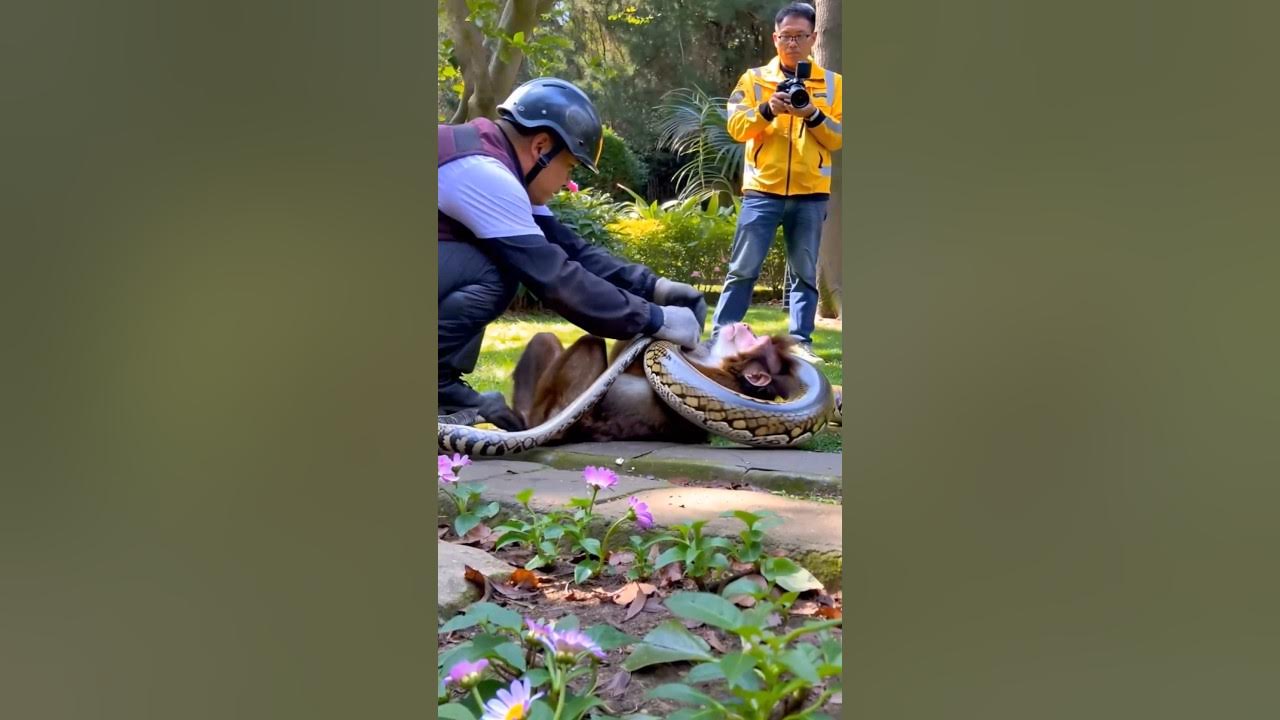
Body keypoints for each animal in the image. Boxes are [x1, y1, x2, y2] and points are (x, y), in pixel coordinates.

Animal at [509, 322, 802, 444]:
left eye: (753, 338)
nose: (745, 325)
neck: (723, 365)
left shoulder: (715, 377)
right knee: (545, 336)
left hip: (560, 411)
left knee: (591, 342)